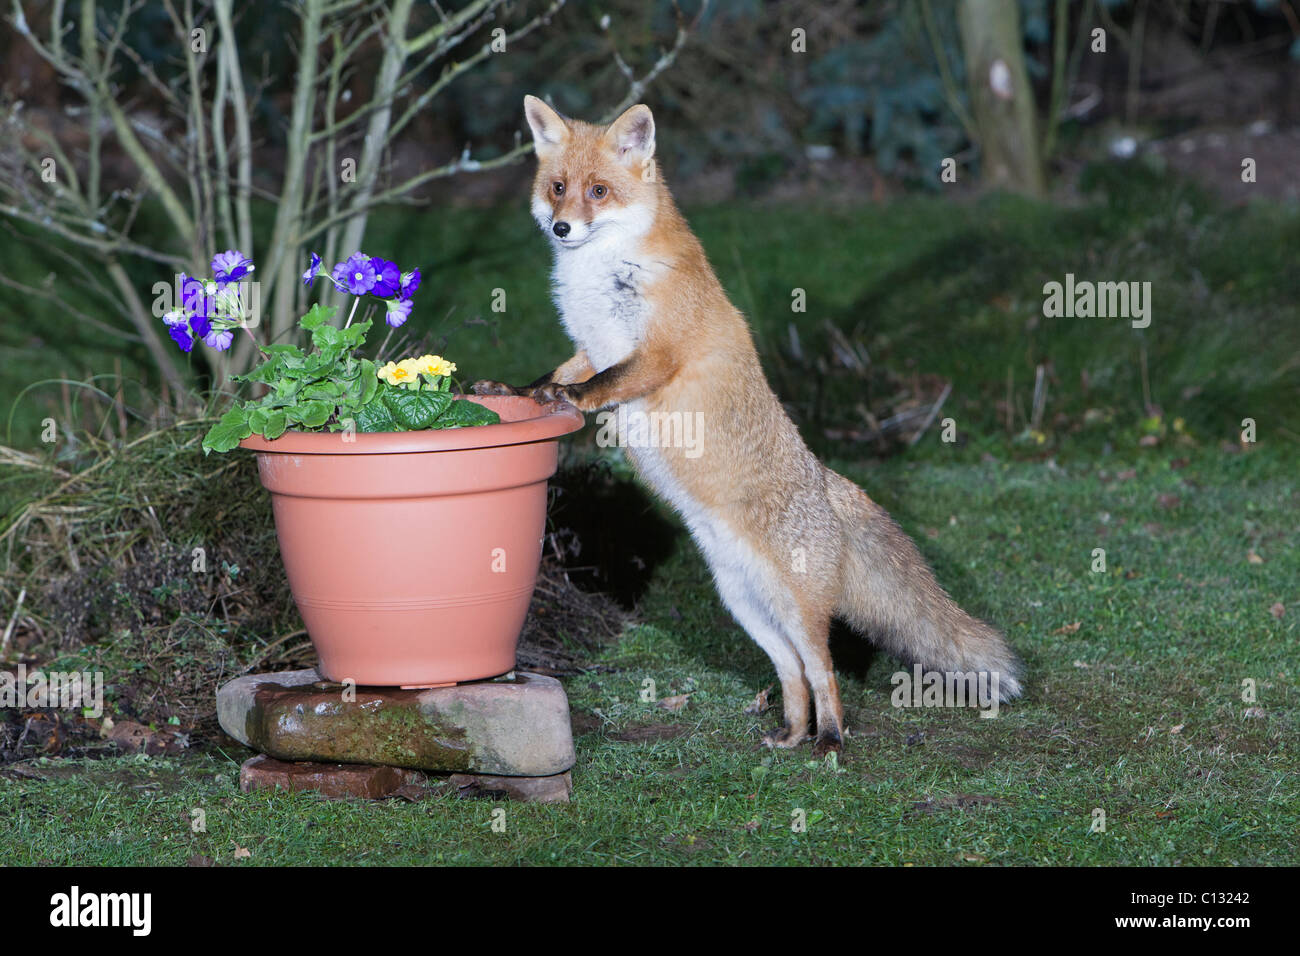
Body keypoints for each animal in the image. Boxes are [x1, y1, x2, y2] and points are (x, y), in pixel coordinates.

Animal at [474, 95, 1023, 755]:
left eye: (598, 191)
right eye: (558, 188)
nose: (561, 229)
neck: (602, 274)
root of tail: (830, 483)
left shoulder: (656, 355)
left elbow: (596, 386)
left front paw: (567, 399)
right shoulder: (589, 345)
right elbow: (549, 376)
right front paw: (513, 392)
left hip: (798, 612)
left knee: (823, 668)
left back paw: (830, 741)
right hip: (748, 608)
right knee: (793, 674)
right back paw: (791, 735)